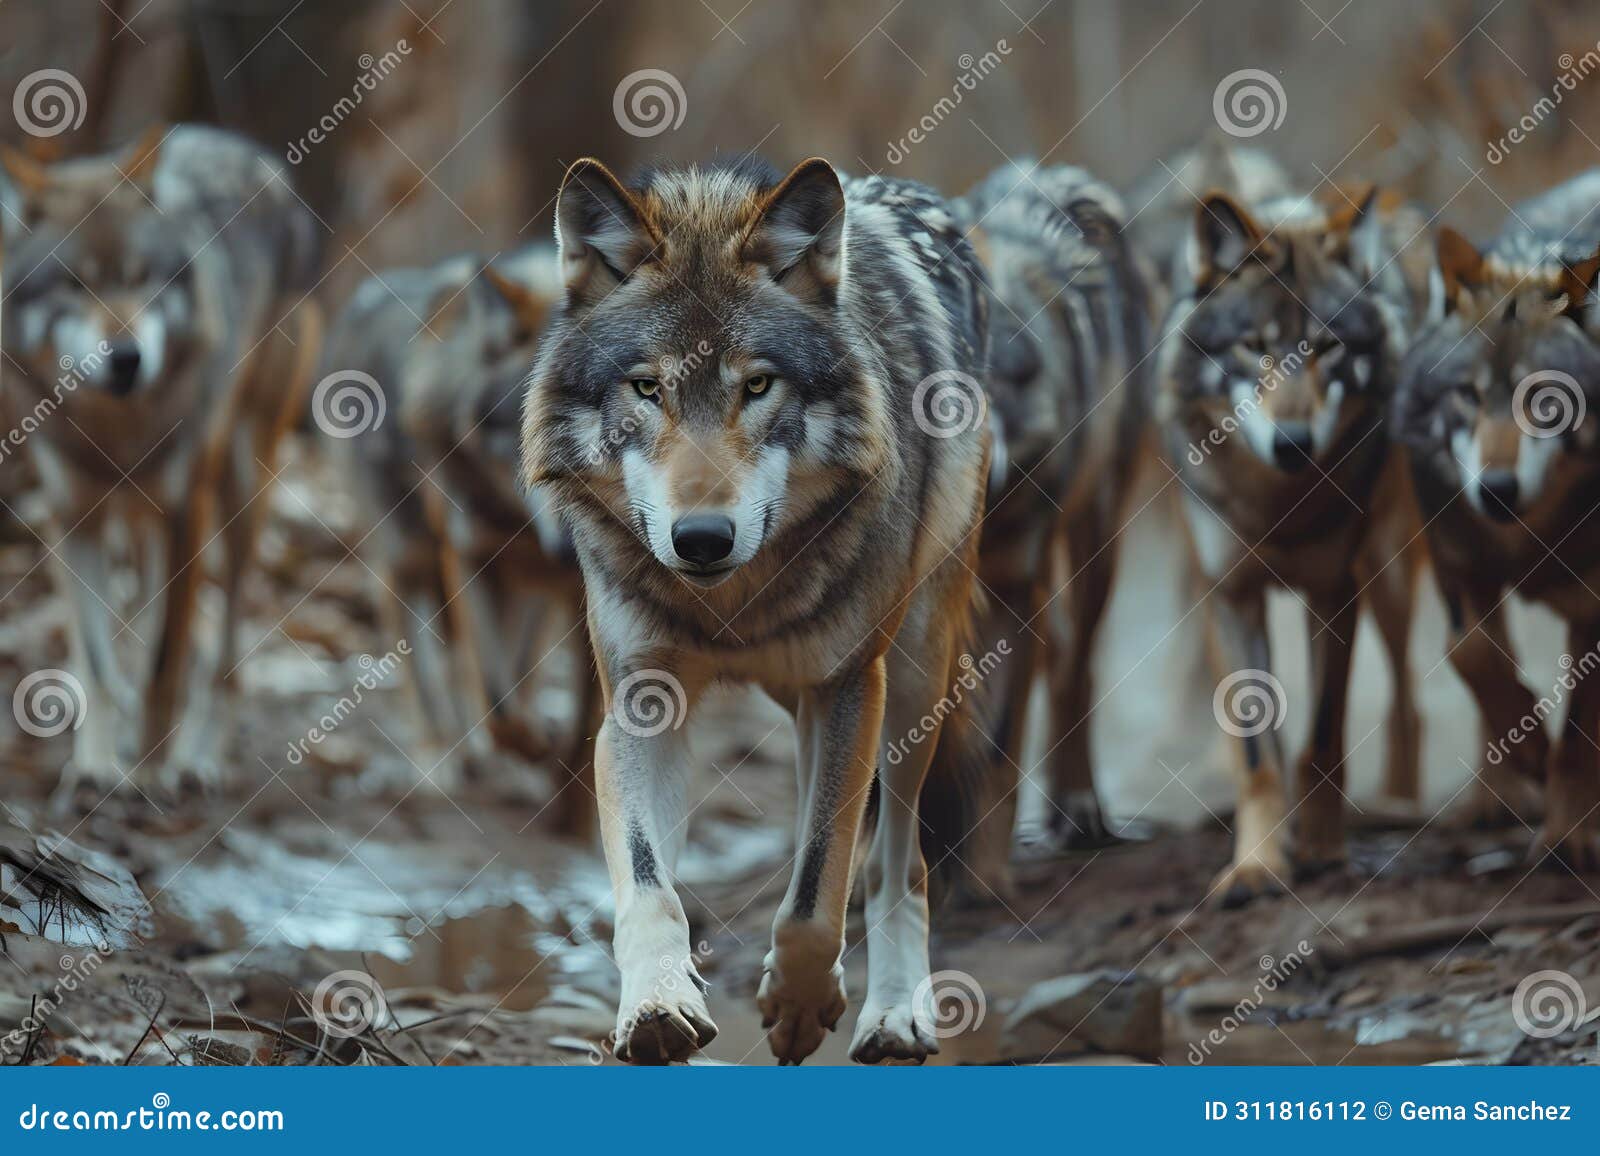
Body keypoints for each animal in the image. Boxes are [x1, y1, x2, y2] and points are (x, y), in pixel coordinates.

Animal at [0, 125, 321, 793]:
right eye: (74, 285)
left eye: (140, 276)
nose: (126, 358)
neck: (118, 433)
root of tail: (246, 149)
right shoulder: (71, 519)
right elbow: (100, 661)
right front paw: (96, 767)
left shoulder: (184, 516)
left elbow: (164, 659)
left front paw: (148, 777)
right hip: (139, 522)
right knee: (138, 624)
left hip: (239, 492)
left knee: (222, 656)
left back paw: (197, 757)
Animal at [522, 155, 992, 1064]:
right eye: (647, 388)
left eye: (759, 386)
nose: (702, 539)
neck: (732, 609)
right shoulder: (641, 702)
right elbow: (648, 884)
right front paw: (657, 1007)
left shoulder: (850, 684)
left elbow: (816, 889)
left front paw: (803, 1003)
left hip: (913, 676)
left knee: (897, 860)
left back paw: (894, 1014)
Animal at [950, 162, 1155, 861]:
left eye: (1001, 375)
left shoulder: (1017, 588)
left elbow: (996, 748)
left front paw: (980, 871)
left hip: (1094, 546)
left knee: (1074, 671)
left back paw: (1079, 812)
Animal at [1156, 178, 1429, 903]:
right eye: (1253, 344)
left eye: (1327, 348)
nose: (1293, 444)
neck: (1274, 508)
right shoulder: (1230, 596)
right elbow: (1259, 756)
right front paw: (1258, 866)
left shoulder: (1335, 589)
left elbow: (1322, 738)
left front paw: (1326, 852)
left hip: (1392, 574)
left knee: (1409, 698)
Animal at [1395, 168, 1600, 869]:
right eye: (1470, 394)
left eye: (1548, 402)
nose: (1498, 490)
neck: (1526, 543)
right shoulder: (1457, 565)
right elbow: (1471, 654)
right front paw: (1529, 751)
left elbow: (1582, 729)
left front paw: (1570, 838)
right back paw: (1496, 797)